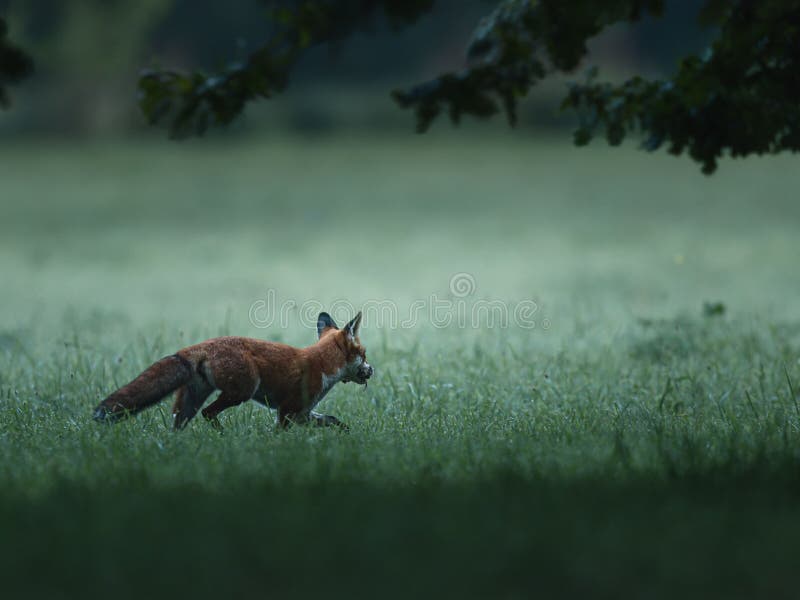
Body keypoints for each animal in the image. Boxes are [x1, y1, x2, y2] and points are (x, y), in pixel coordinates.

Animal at [92, 311, 373, 430]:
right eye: (365, 354)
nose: (372, 370)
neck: (322, 364)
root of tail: (199, 345)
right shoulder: (287, 411)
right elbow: (280, 434)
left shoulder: (303, 414)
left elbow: (335, 422)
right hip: (242, 391)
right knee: (208, 413)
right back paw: (221, 435)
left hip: (190, 402)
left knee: (178, 424)